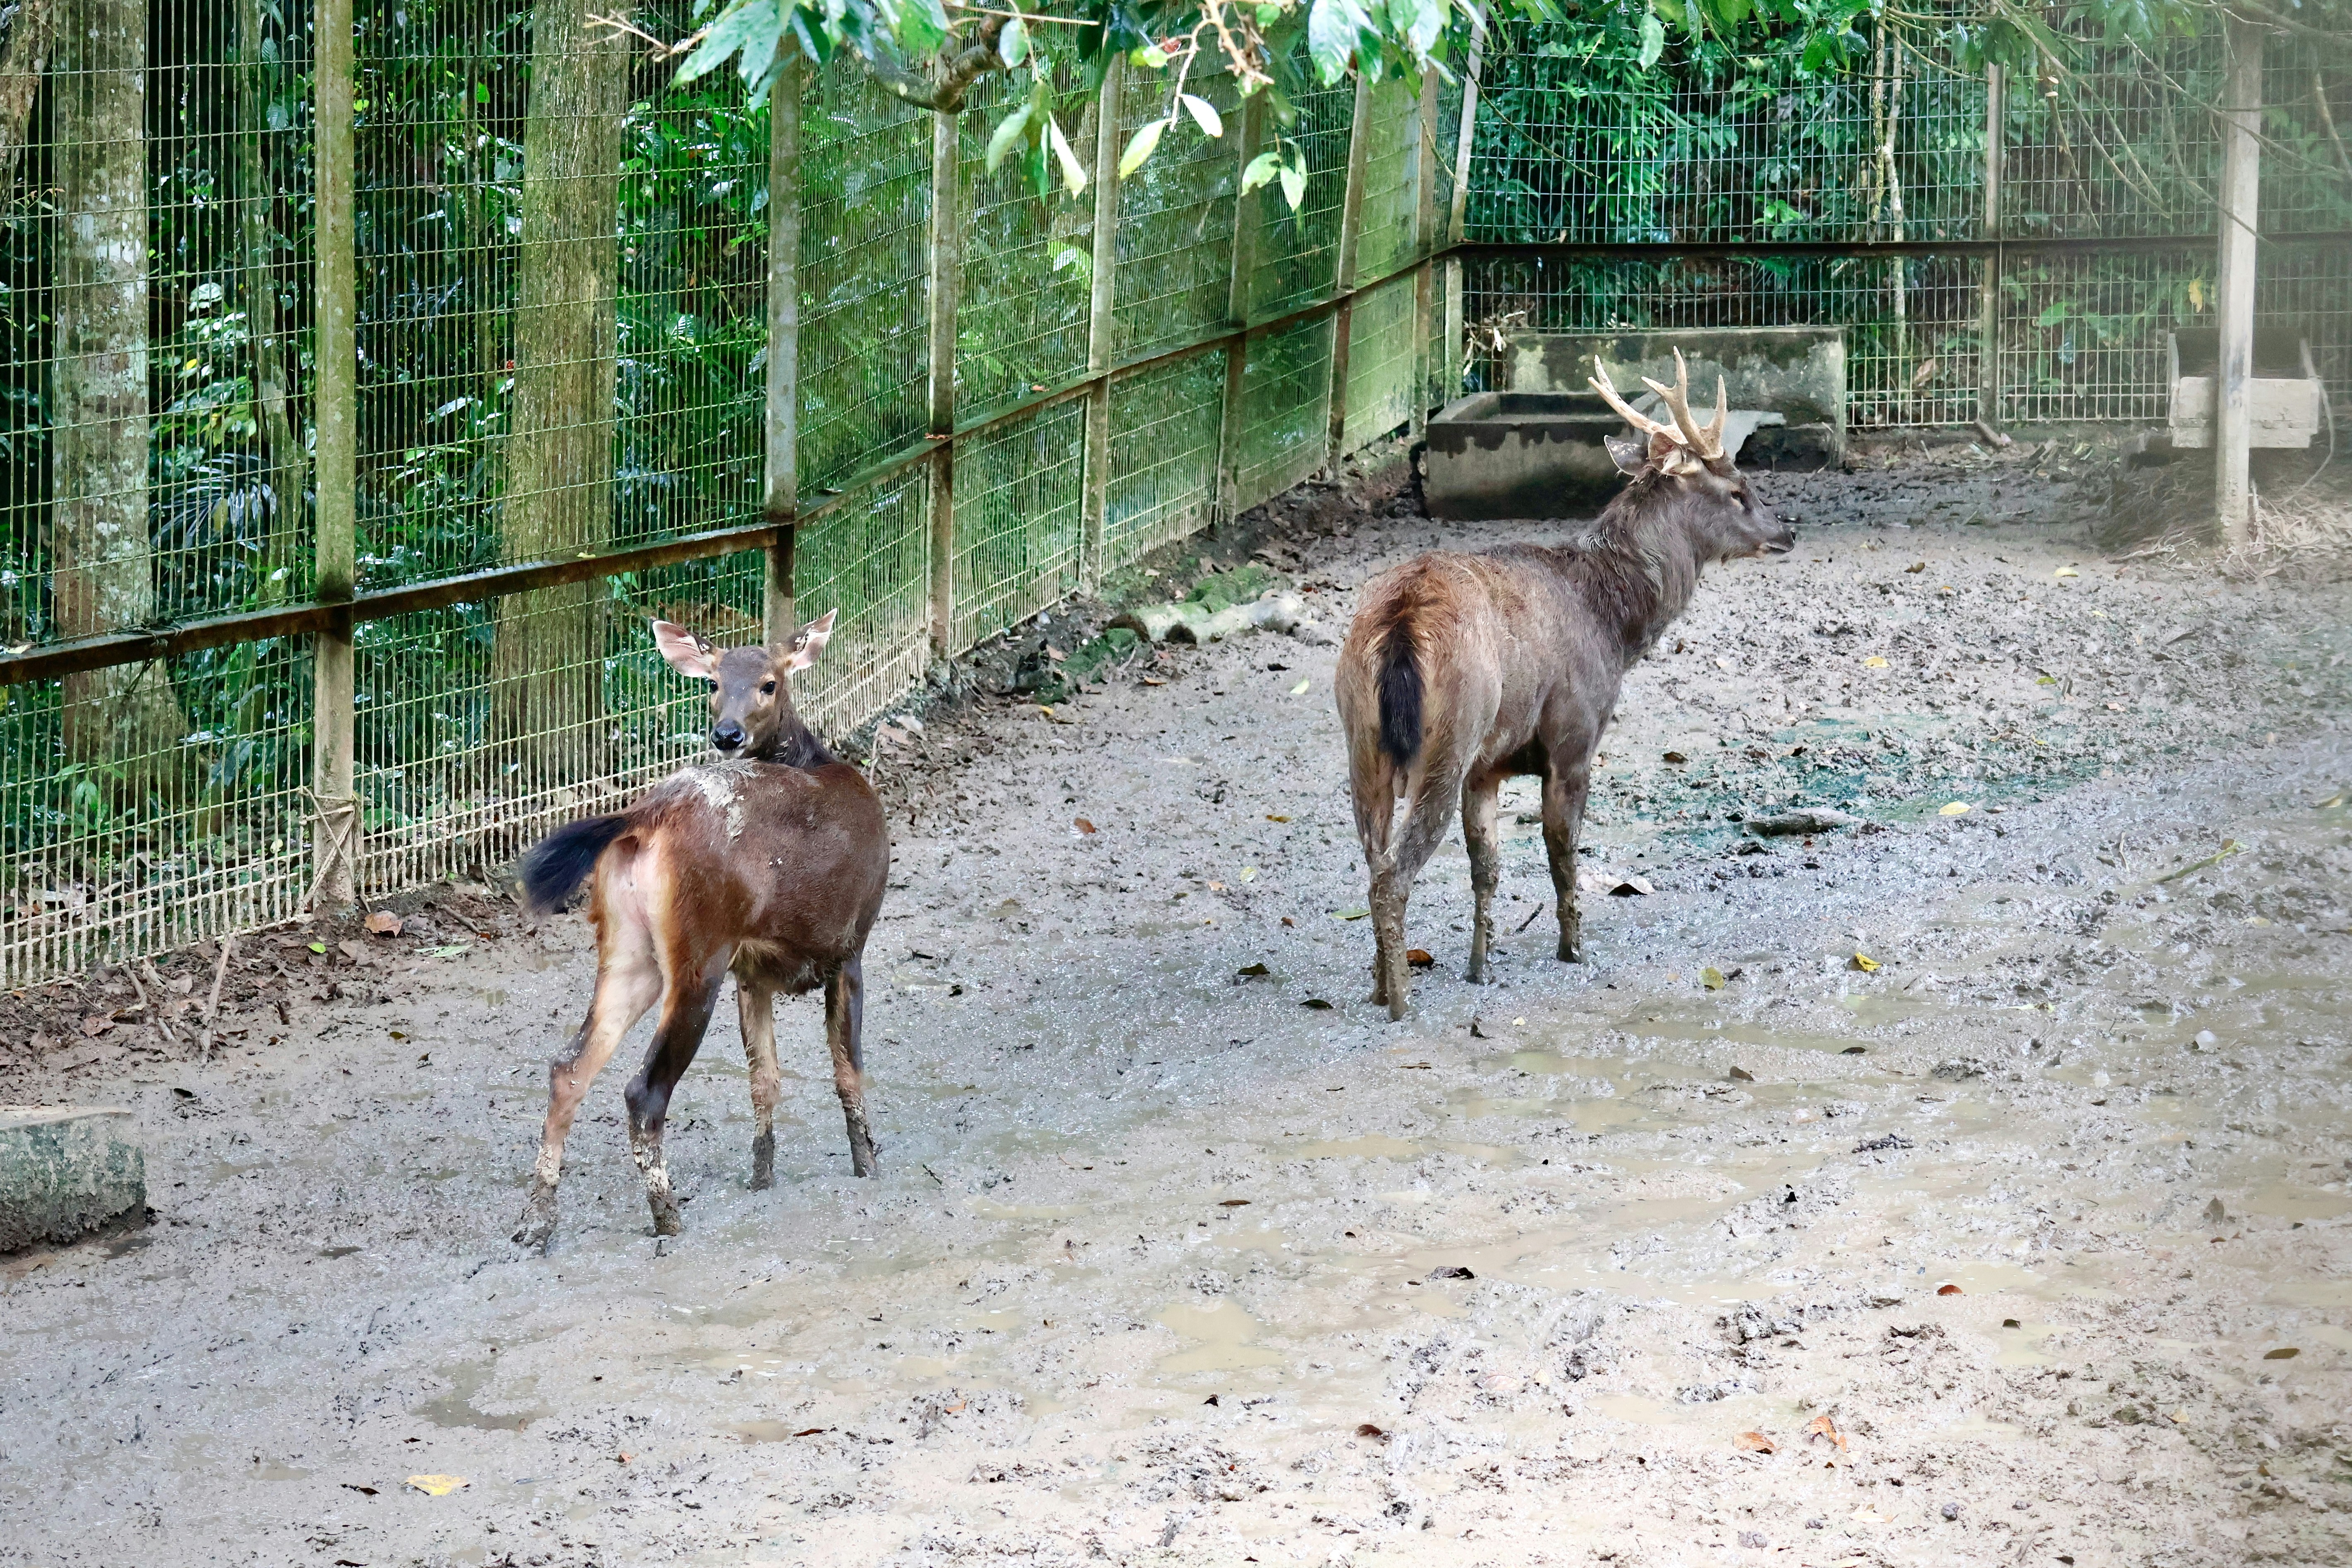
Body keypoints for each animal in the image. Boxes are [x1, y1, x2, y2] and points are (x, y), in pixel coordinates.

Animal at [508, 610, 890, 1252]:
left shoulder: (753, 971)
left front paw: (761, 1177)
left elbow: (766, 1078)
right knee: (643, 1089)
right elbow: (848, 1070)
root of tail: (645, 816)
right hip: (699, 950)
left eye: (767, 683)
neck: (816, 757)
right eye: (711, 682)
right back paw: (667, 1215)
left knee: (568, 1068)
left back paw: (536, 1222)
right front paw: (868, 1165)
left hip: (631, 951)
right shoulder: (850, 944)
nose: (727, 734)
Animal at [1335, 350, 1795, 1019]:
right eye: (1738, 490)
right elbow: (1563, 852)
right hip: (1449, 735)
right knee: (1394, 872)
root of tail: (1401, 617)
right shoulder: (1574, 735)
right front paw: (1573, 948)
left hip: (1362, 739)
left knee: (1372, 859)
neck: (1612, 624)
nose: (1787, 531)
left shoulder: (1487, 765)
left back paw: (1376, 983)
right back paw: (1400, 1001)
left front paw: (1480, 965)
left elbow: (1487, 865)